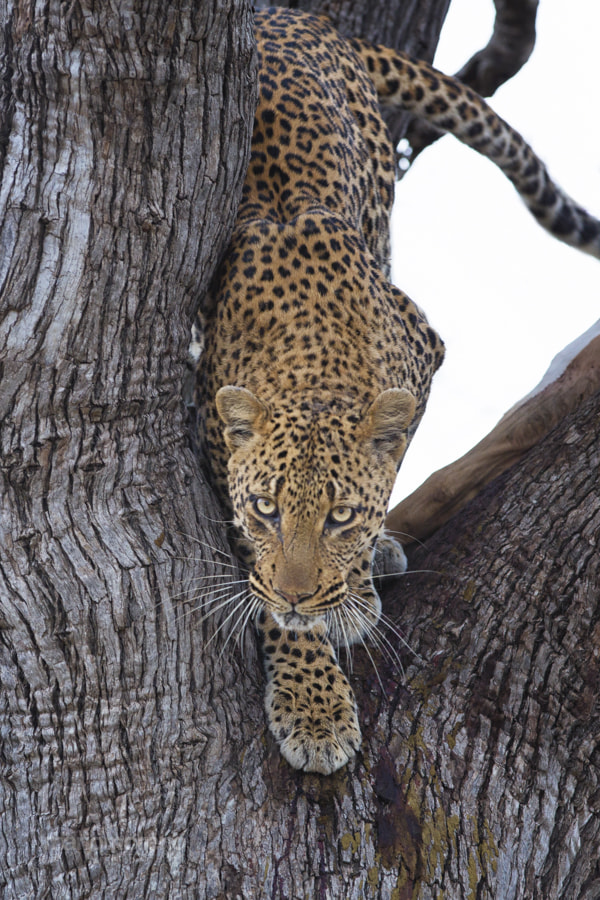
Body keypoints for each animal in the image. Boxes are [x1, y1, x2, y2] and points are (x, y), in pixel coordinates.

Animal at [195, 5, 596, 772]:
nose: (301, 598)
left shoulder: (426, 354)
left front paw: (353, 580)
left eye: (339, 516)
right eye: (265, 508)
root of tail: (292, 16)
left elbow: (389, 465)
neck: (313, 361)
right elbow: (261, 577)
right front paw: (313, 700)